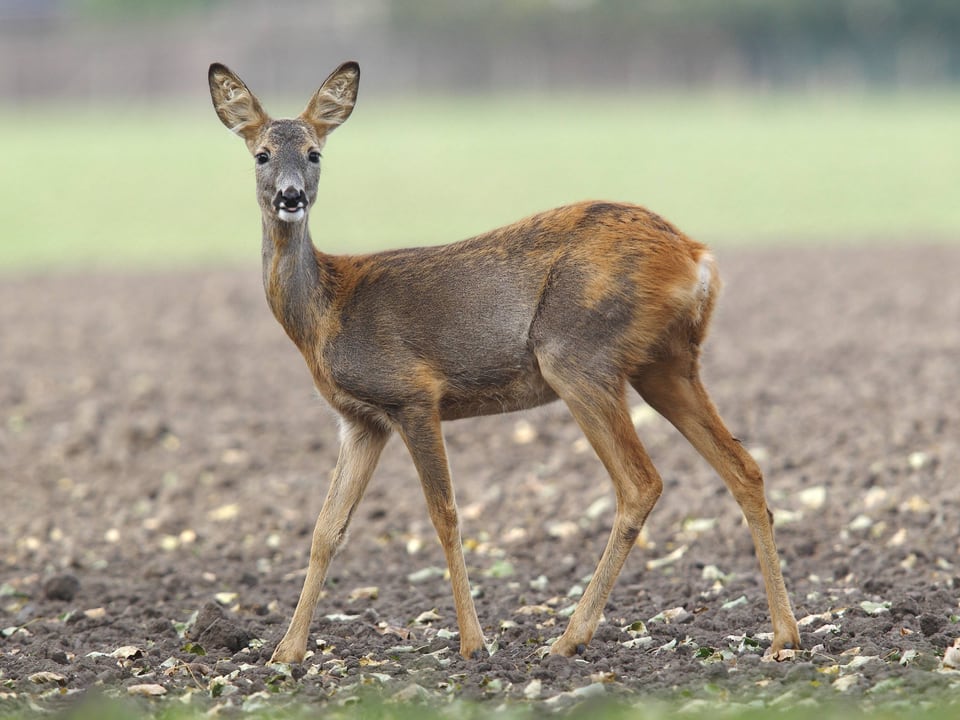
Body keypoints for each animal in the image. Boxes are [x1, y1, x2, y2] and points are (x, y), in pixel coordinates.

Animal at [207, 60, 801, 665]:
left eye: (314, 153)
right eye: (261, 154)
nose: (290, 196)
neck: (325, 311)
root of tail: (697, 257)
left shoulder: (413, 393)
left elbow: (444, 515)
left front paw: (473, 643)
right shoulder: (361, 420)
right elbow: (326, 528)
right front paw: (286, 653)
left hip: (577, 352)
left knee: (641, 483)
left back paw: (569, 637)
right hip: (667, 363)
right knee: (744, 468)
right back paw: (784, 636)